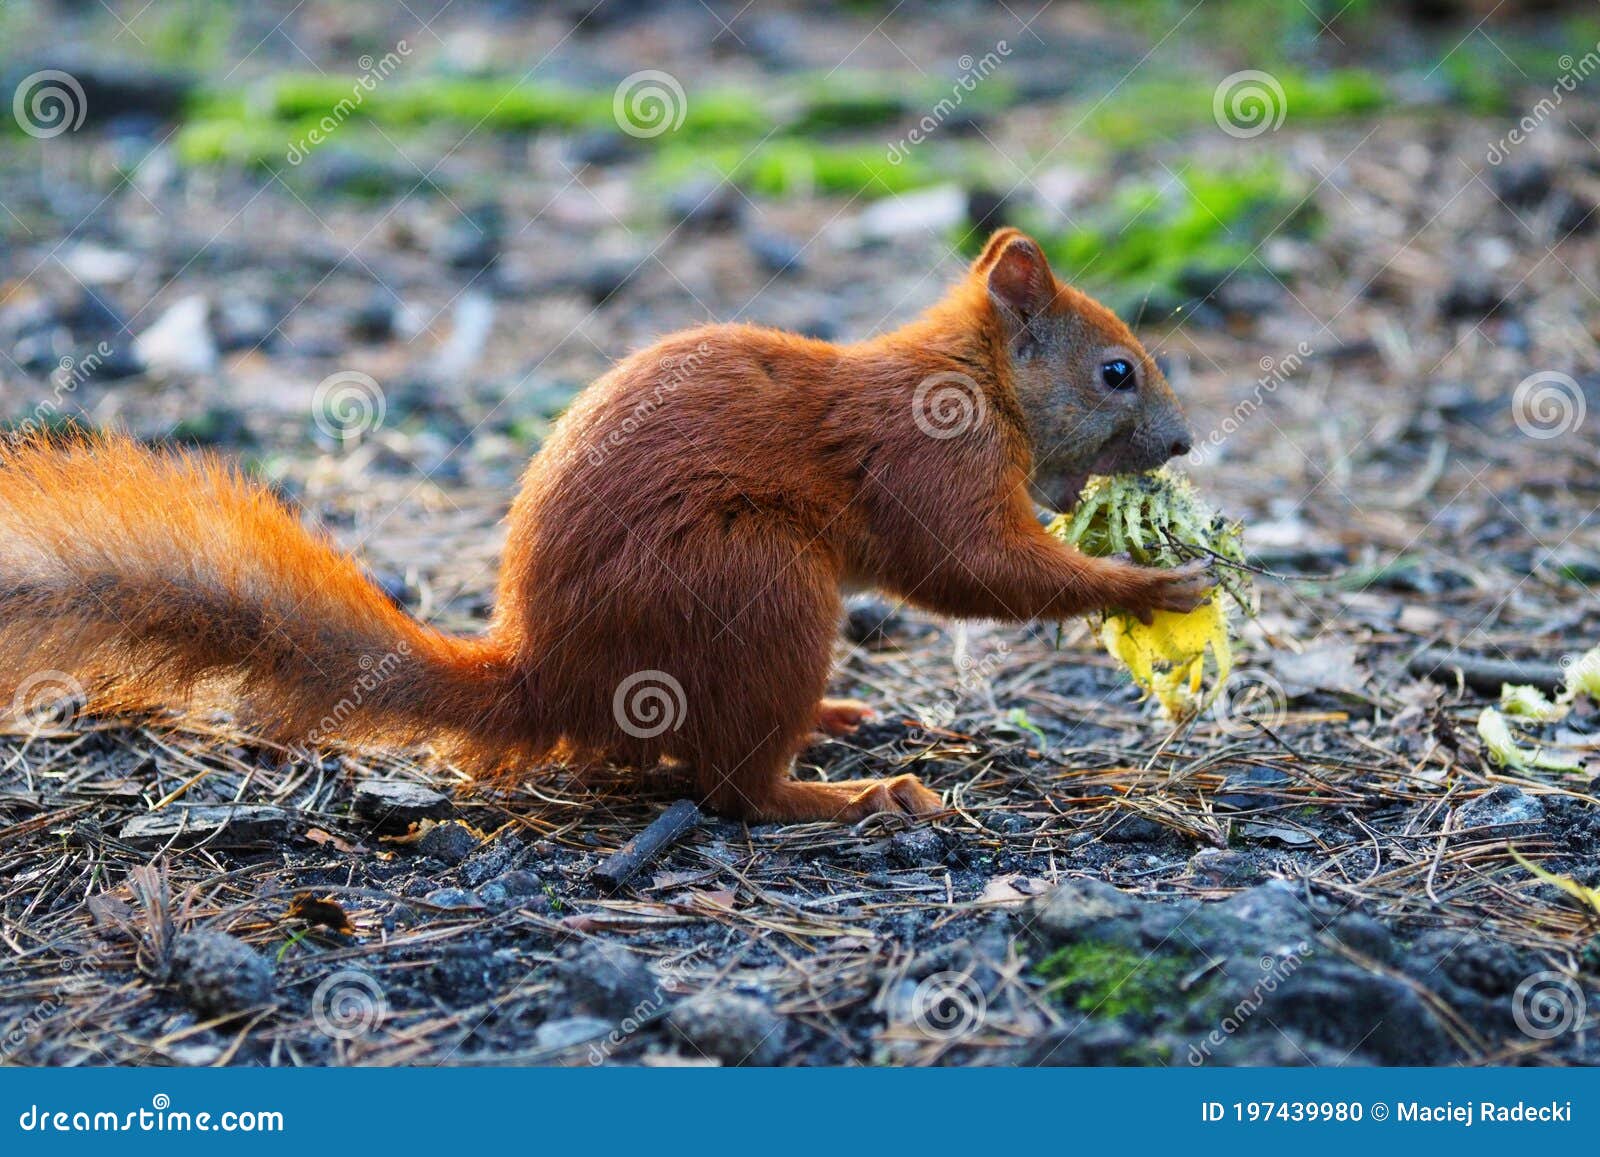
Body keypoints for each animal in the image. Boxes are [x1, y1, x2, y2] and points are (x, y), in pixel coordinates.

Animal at [0, 228, 1211, 823]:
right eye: (1117, 371)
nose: (1185, 444)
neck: (975, 379)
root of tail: (552, 673)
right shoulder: (929, 457)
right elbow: (972, 570)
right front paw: (1153, 582)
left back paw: (830, 720)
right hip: (759, 583)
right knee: (733, 794)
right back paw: (849, 793)